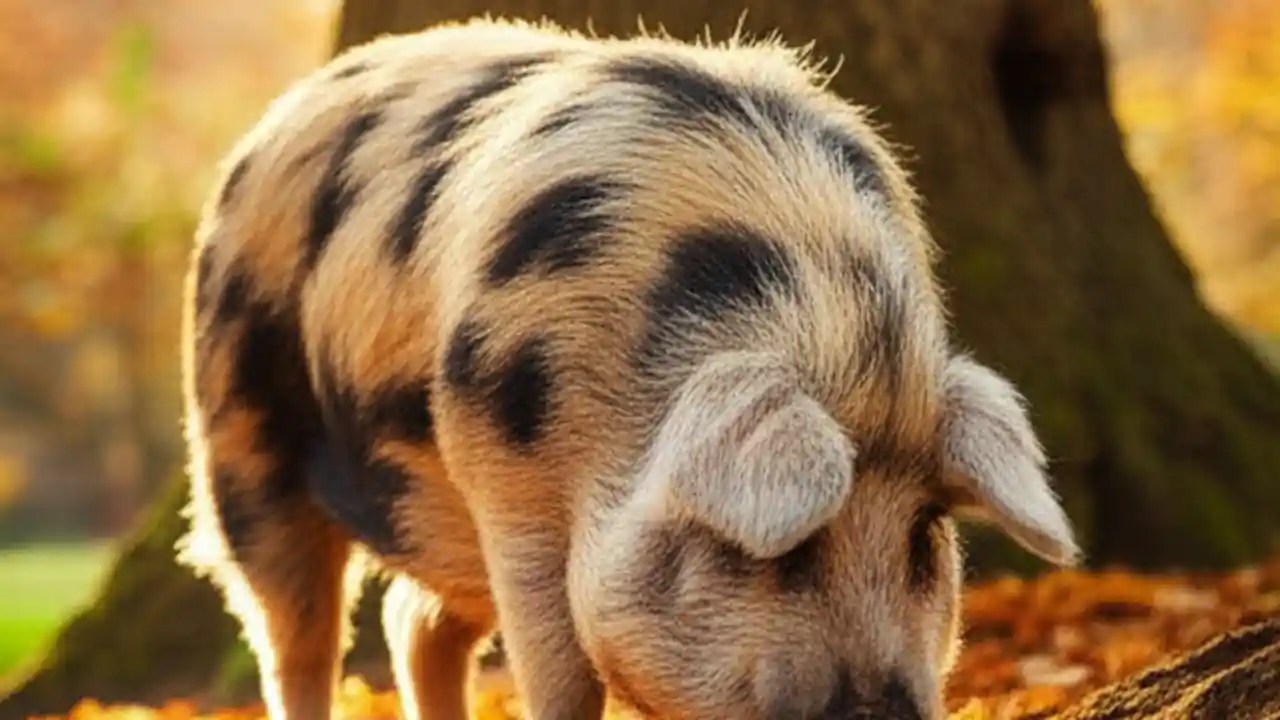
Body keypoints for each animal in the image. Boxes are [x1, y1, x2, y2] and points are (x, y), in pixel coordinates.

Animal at [177, 17, 1079, 720]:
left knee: (413, 620)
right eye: (784, 554)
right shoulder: (509, 487)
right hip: (237, 435)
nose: (879, 709)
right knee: (296, 636)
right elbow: (562, 675)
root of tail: (276, 118)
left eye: (924, 537)